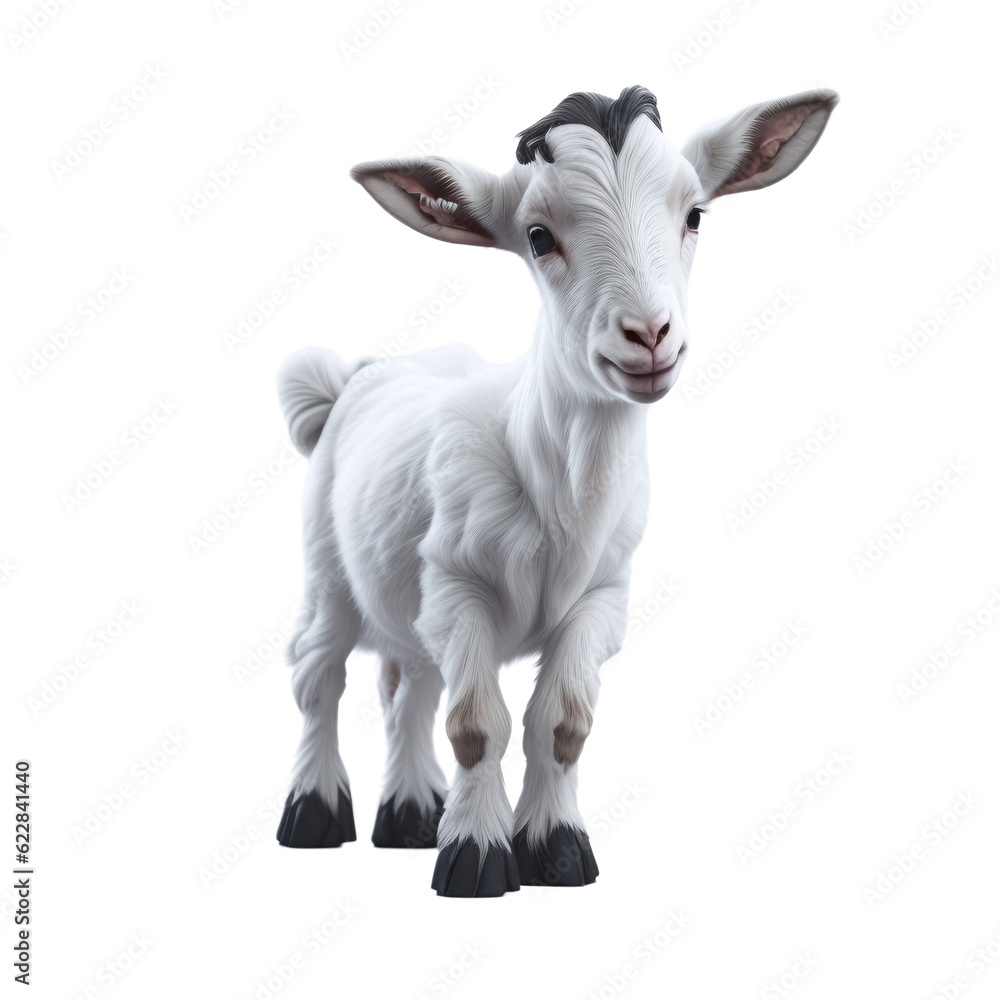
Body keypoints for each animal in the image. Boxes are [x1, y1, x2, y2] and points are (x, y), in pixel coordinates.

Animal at [274, 85, 838, 896]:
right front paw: (476, 858)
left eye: (695, 214)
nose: (649, 334)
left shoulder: (601, 598)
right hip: (329, 571)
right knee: (318, 677)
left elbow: (563, 725)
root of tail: (360, 375)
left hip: (411, 597)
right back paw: (315, 813)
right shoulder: (461, 588)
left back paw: (409, 816)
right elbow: (477, 724)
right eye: (539, 236)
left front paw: (558, 850)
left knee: (407, 688)